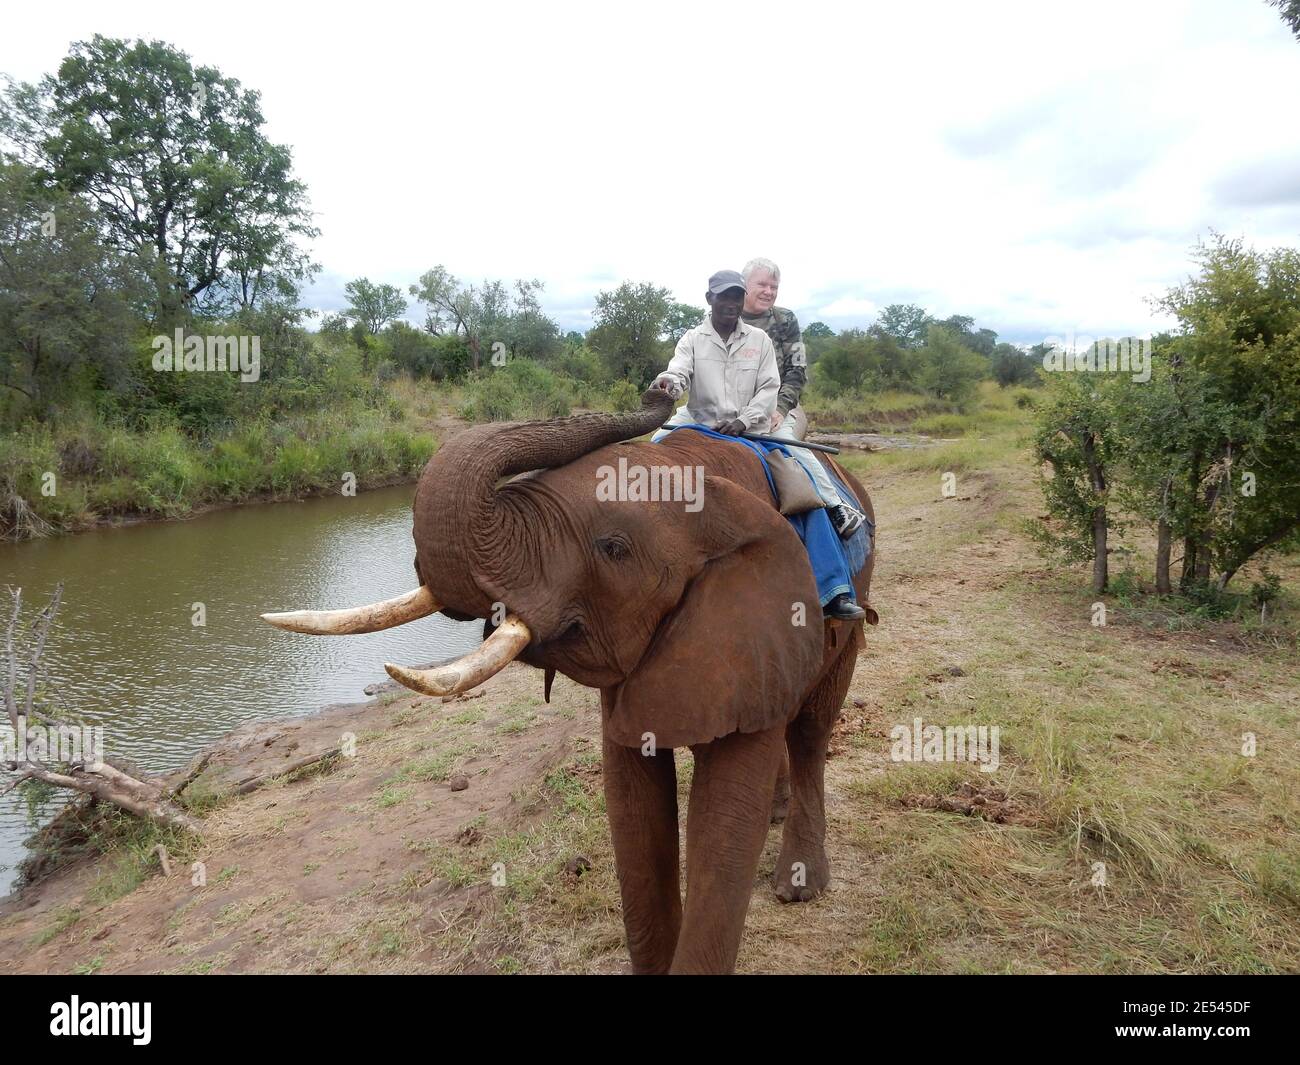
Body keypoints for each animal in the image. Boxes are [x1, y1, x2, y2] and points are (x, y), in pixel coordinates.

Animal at [263, 387, 876, 974]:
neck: (696, 473)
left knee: (811, 728)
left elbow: (722, 823)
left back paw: (799, 884)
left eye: (613, 548)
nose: (658, 386)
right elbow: (632, 804)